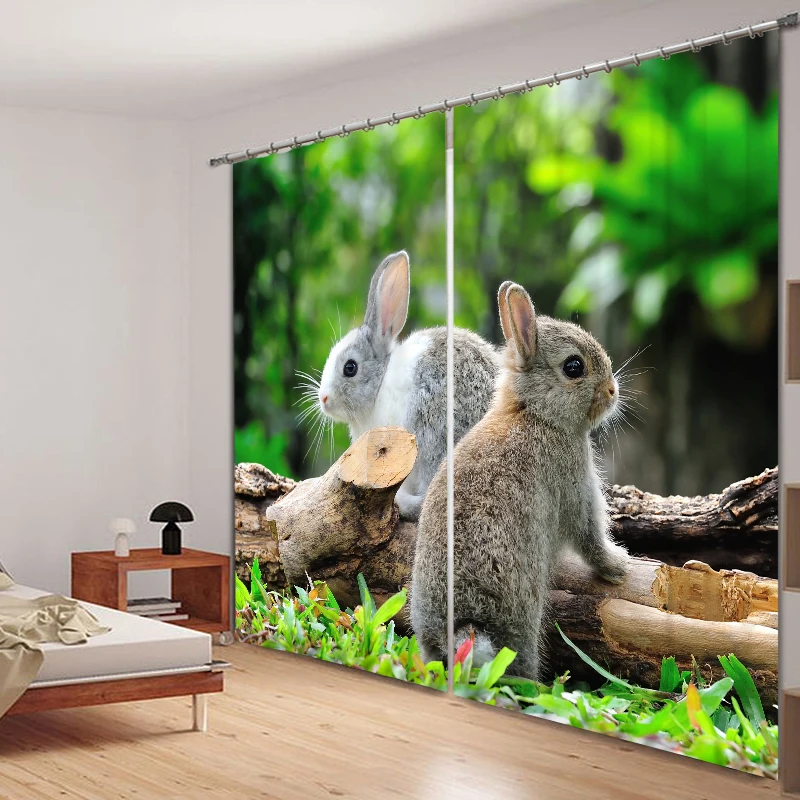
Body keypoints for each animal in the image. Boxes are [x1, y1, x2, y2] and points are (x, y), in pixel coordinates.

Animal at [410, 280, 630, 680]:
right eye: (574, 366)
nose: (612, 391)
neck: (534, 412)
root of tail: (465, 628)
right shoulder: (574, 482)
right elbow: (589, 537)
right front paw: (618, 565)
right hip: (522, 618)